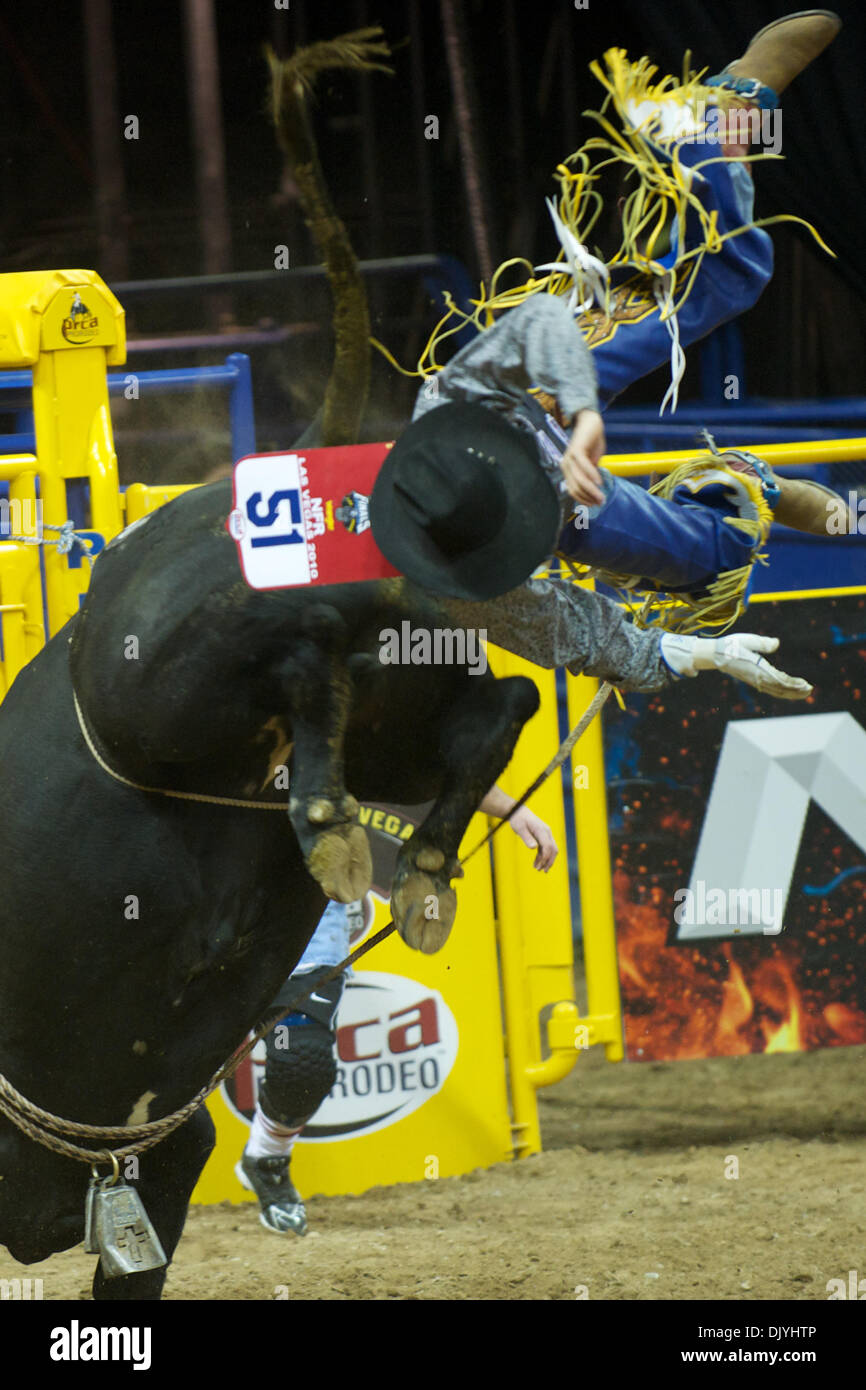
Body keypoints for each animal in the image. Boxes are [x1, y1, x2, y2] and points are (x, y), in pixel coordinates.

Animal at [0, 477, 538, 1299]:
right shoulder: (162, 1152)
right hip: (407, 699)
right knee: (495, 703)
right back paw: (401, 858)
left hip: (165, 690)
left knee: (321, 645)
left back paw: (342, 825)